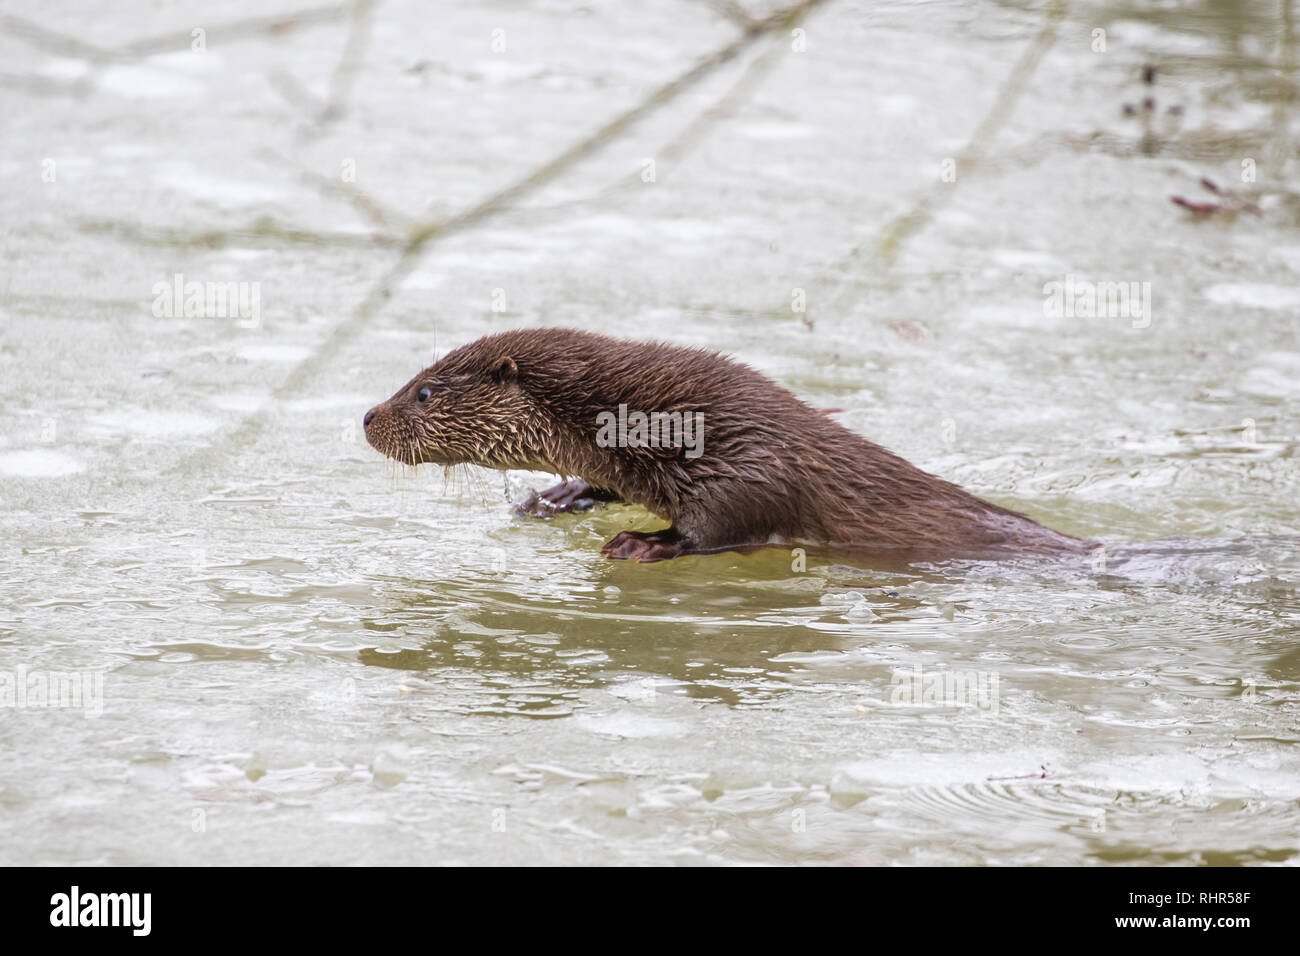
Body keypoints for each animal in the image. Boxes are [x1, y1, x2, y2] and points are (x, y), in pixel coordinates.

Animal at [363, 328, 1089, 562]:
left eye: (423, 392)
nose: (368, 415)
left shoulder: (746, 452)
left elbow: (730, 518)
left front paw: (645, 543)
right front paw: (559, 494)